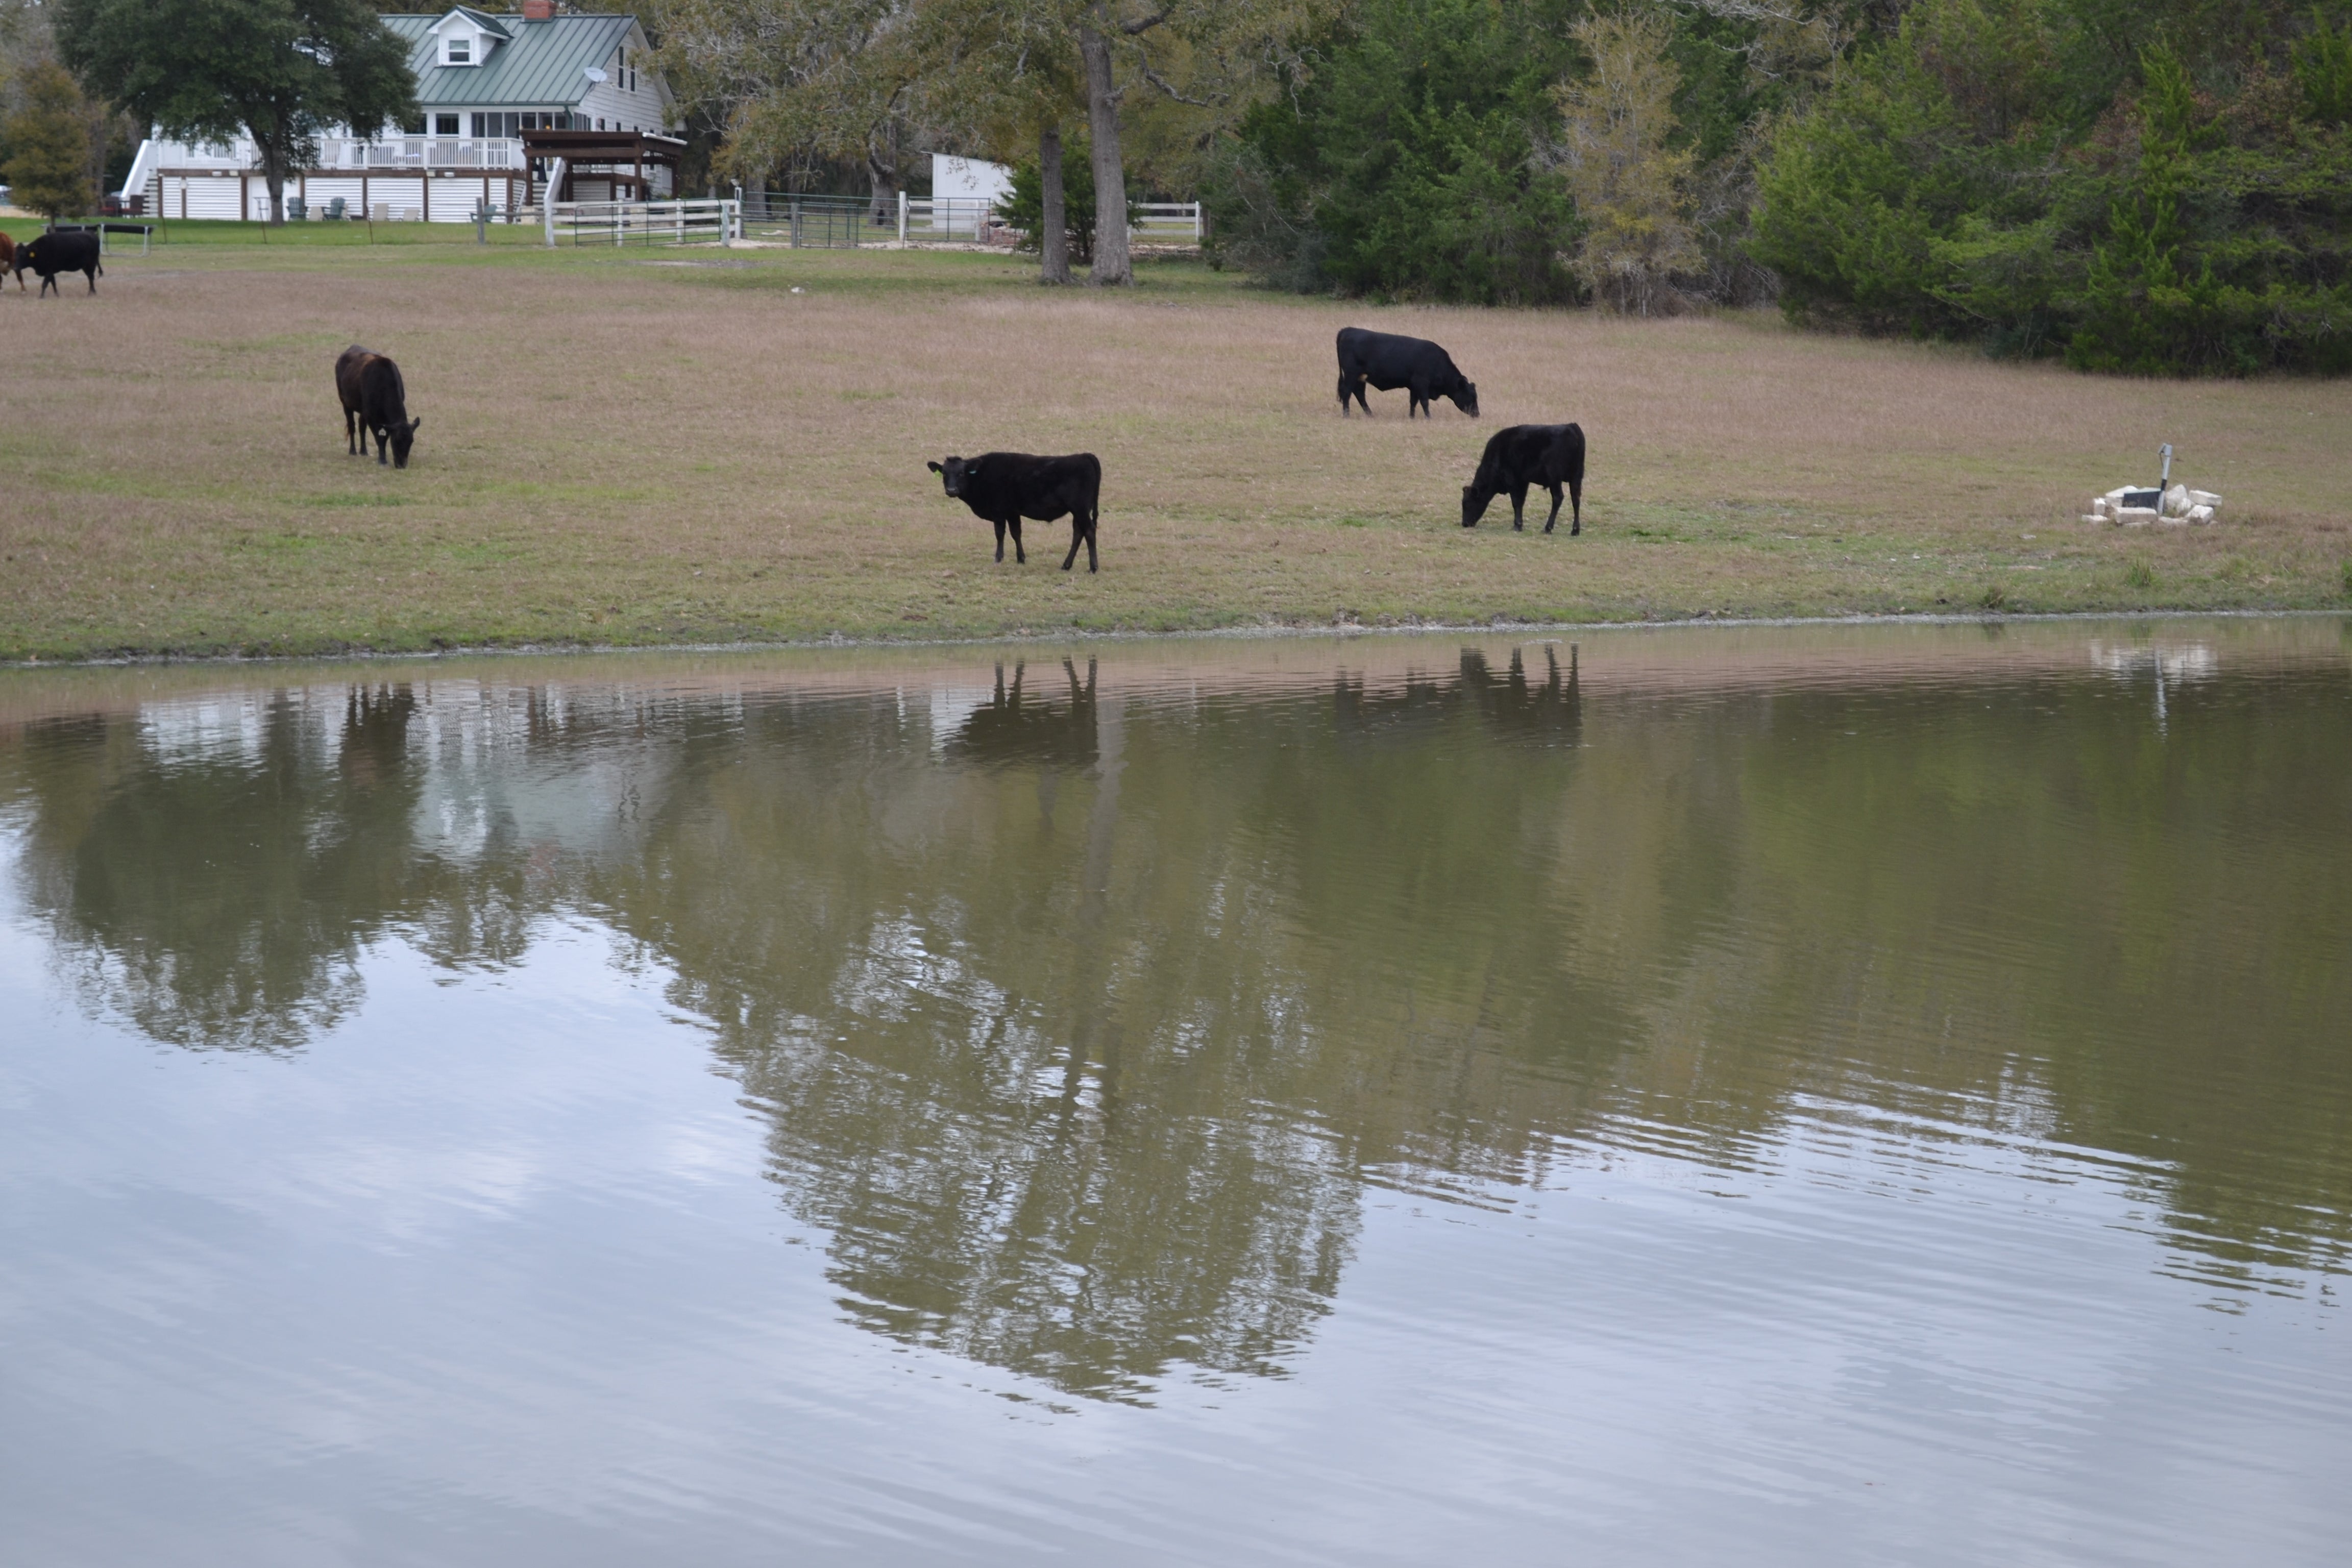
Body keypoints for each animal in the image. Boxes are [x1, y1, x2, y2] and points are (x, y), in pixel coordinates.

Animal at [15, 229, 102, 297]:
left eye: (23, 255)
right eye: (15, 255)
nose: (15, 268)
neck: (40, 250)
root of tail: (92, 233)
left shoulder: (49, 270)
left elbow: (45, 284)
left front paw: (41, 296)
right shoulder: (51, 272)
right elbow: (53, 283)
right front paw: (57, 295)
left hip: (91, 264)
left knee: (91, 277)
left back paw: (91, 293)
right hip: (85, 266)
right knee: (90, 277)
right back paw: (92, 292)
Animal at [335, 345, 421, 468]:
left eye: (411, 441)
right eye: (397, 440)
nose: (402, 465)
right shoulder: (371, 416)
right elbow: (380, 438)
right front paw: (382, 460)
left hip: (362, 410)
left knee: (362, 427)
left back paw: (364, 451)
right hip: (345, 402)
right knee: (352, 426)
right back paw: (353, 451)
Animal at [928, 452, 1103, 572]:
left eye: (961, 473)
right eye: (944, 474)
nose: (952, 490)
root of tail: (1083, 456)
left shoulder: (999, 511)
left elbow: (1000, 534)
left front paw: (998, 558)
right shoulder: (1012, 512)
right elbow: (1016, 533)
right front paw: (1021, 559)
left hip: (1080, 508)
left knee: (1089, 531)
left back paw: (1093, 567)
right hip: (1079, 511)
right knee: (1078, 532)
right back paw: (1067, 565)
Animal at [1335, 327, 1478, 419]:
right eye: (1472, 396)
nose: (1477, 414)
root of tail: (1348, 330)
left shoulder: (1414, 386)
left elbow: (1413, 402)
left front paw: (1412, 417)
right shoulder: (1421, 382)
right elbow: (1424, 401)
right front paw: (1428, 417)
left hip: (1360, 377)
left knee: (1359, 394)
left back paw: (1370, 414)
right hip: (1351, 374)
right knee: (1347, 393)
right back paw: (1347, 415)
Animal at [1461, 423, 1586, 535]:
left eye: (1466, 503)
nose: (1464, 524)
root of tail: (1571, 426)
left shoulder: (1512, 480)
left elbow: (1516, 502)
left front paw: (1518, 525)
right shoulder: (1524, 481)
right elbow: (1522, 501)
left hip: (1555, 479)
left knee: (1558, 498)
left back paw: (1548, 528)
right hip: (1576, 477)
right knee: (1576, 499)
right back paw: (1575, 530)